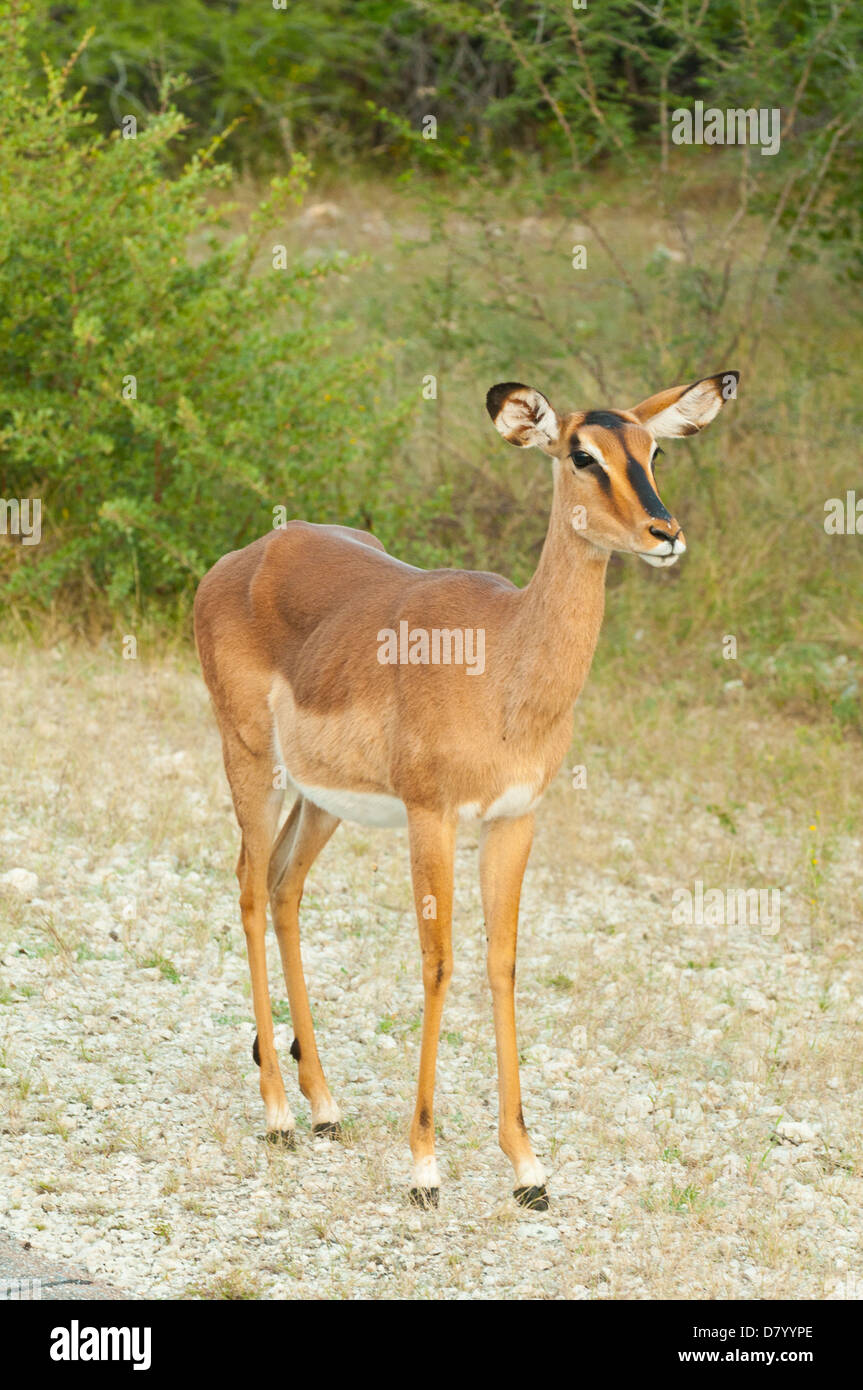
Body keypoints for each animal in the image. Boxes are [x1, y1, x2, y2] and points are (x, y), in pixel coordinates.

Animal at [194, 370, 738, 1211]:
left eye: (653, 451)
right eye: (581, 454)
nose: (664, 532)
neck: (505, 662)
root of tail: (240, 560)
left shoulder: (515, 819)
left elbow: (502, 962)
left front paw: (527, 1168)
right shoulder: (433, 816)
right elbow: (438, 961)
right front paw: (424, 1166)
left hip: (320, 800)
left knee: (284, 889)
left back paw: (324, 1105)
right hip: (250, 759)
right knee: (251, 887)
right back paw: (279, 1115)